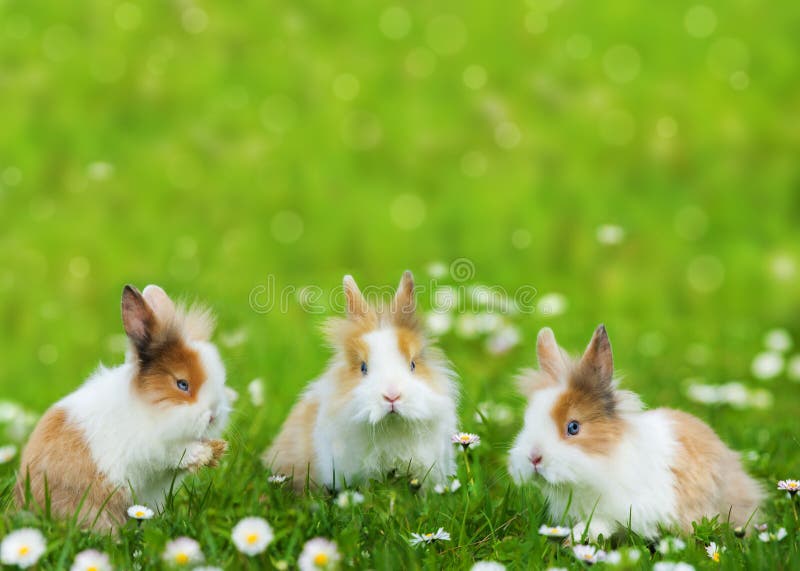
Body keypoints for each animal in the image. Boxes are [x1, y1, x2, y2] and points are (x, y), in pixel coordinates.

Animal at [15, 284, 231, 531]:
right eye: (182, 384)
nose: (213, 416)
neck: (150, 409)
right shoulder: (154, 449)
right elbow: (176, 453)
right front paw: (202, 453)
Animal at [509, 324, 764, 540]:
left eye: (573, 427)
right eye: (527, 421)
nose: (534, 458)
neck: (606, 458)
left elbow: (603, 521)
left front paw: (576, 537)